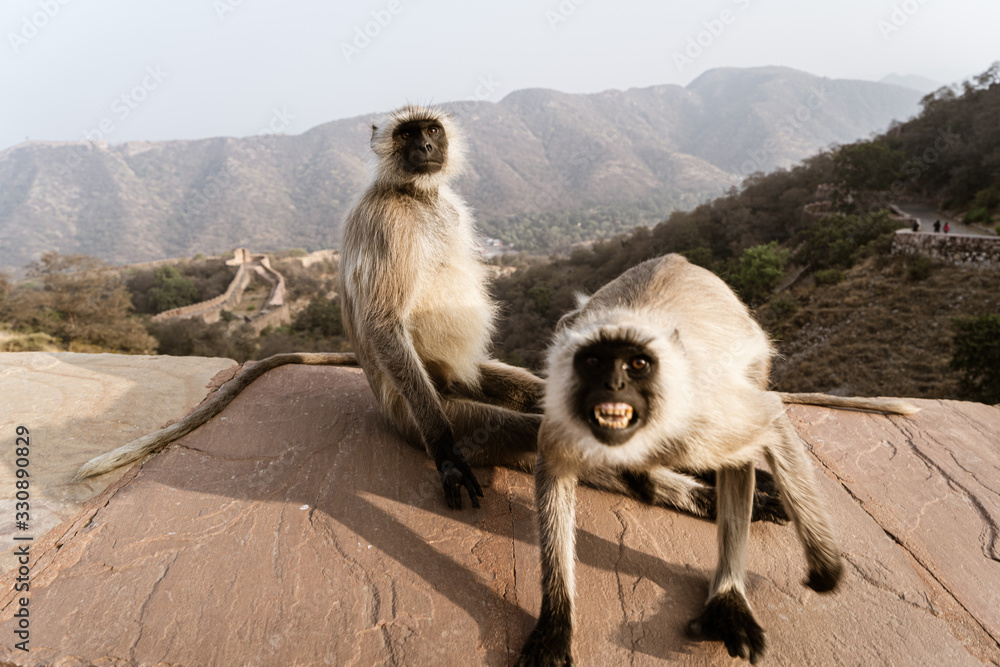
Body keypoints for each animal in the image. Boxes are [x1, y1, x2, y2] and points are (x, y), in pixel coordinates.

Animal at [516, 253, 918, 666]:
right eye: (593, 362)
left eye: (637, 366)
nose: (613, 387)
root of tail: (678, 259)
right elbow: (554, 466)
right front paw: (556, 622)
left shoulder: (705, 410)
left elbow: (770, 419)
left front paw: (819, 568)